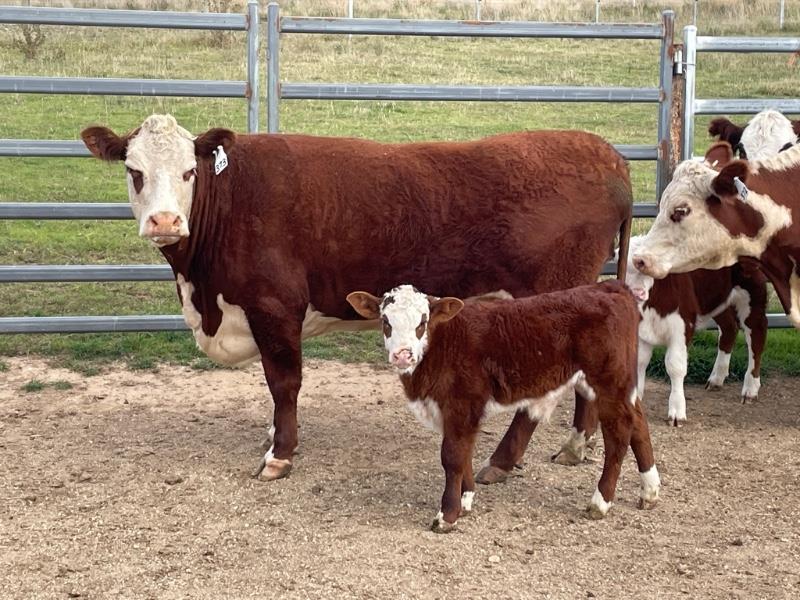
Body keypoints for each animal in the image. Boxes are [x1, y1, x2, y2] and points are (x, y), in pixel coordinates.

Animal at [81, 114, 634, 481]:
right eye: (133, 171)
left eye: (189, 172)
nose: (165, 221)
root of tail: (605, 154)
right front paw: (273, 438)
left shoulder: (274, 306)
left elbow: (284, 383)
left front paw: (280, 453)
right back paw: (574, 446)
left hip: (550, 297)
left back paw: (501, 461)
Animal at [345, 282, 660, 532]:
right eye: (385, 321)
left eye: (422, 321)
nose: (402, 355)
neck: (443, 342)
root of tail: (608, 287)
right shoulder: (460, 413)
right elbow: (465, 452)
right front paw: (466, 500)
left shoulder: (462, 404)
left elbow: (452, 456)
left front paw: (448, 515)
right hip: (618, 383)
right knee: (639, 423)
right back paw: (650, 492)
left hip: (608, 381)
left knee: (619, 433)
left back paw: (600, 502)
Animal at [624, 235, 767, 425]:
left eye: (646, 268)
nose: (638, 293)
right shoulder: (642, 331)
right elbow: (640, 362)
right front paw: (637, 402)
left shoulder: (681, 328)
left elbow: (675, 367)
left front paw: (677, 412)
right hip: (718, 300)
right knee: (729, 328)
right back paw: (716, 379)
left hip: (752, 297)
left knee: (756, 335)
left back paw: (750, 388)